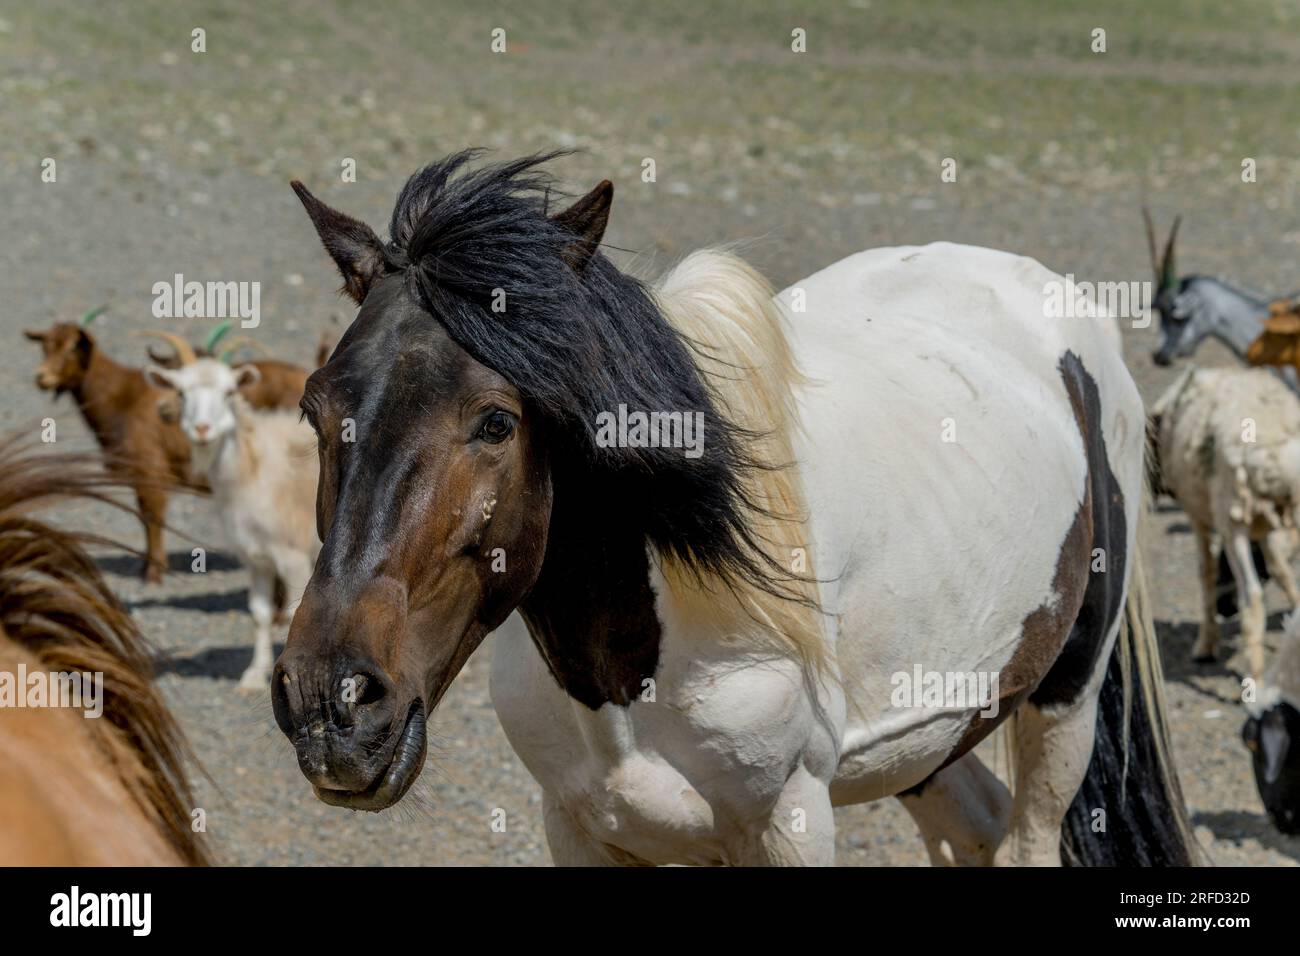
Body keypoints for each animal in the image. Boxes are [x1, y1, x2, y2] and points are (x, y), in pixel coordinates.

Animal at [273, 150, 1197, 866]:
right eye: (316, 410)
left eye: (496, 421)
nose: (331, 700)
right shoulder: (578, 825)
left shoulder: (791, 822)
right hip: (935, 730)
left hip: (1064, 706)